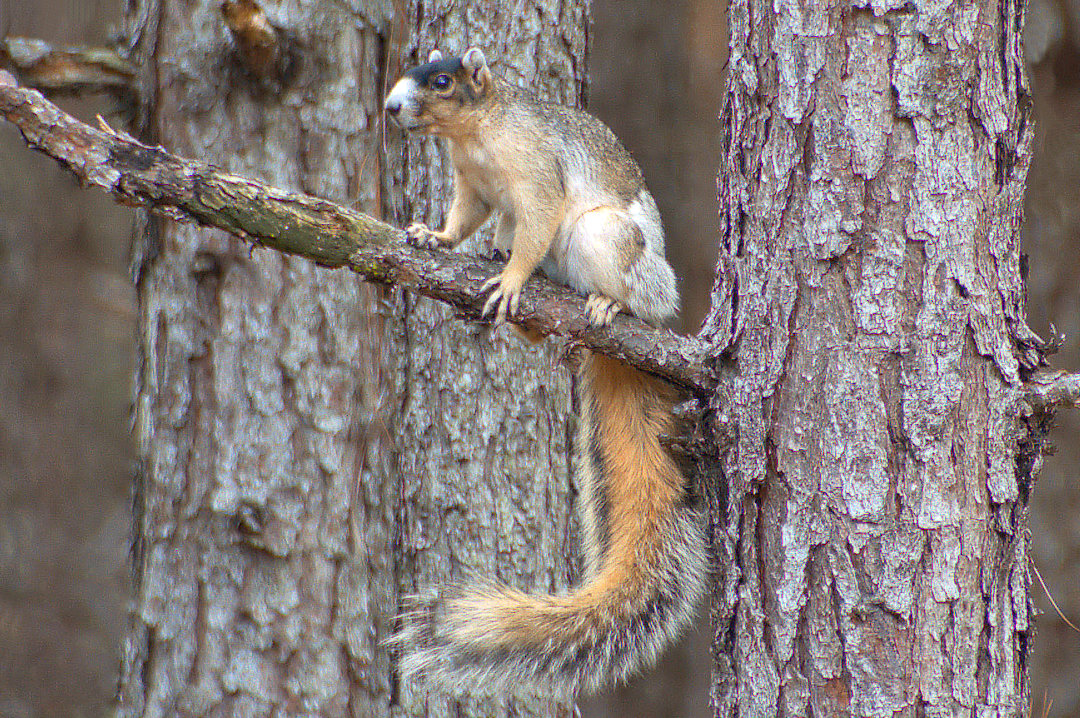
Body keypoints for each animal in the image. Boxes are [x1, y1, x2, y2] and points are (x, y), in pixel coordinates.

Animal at [384, 47, 707, 697]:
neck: (475, 137)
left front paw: (510, 282)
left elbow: (538, 218)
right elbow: (465, 218)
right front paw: (434, 235)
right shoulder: (473, 188)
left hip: (606, 240)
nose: (391, 107)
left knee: (623, 285)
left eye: (442, 81)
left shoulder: (537, 176)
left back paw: (606, 304)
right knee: (509, 248)